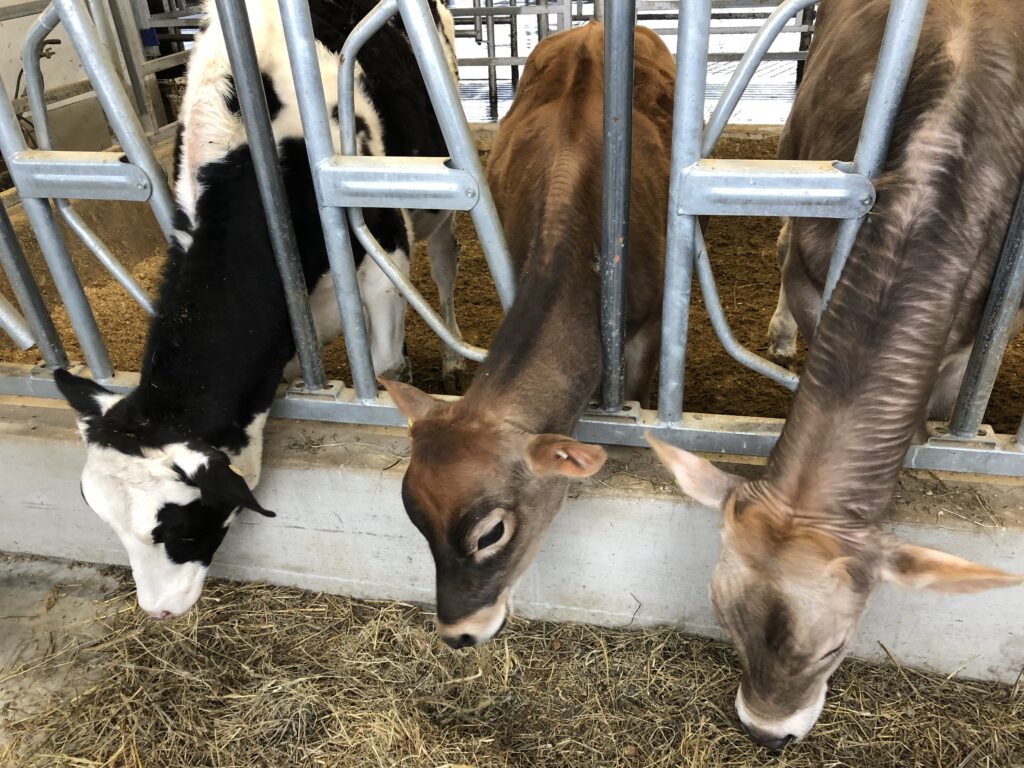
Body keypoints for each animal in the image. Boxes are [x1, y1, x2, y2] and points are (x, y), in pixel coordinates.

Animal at [54, 0, 460, 619]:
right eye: (106, 521)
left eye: (180, 528)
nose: (158, 610)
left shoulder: (383, 260)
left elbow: (388, 367)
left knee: (444, 265)